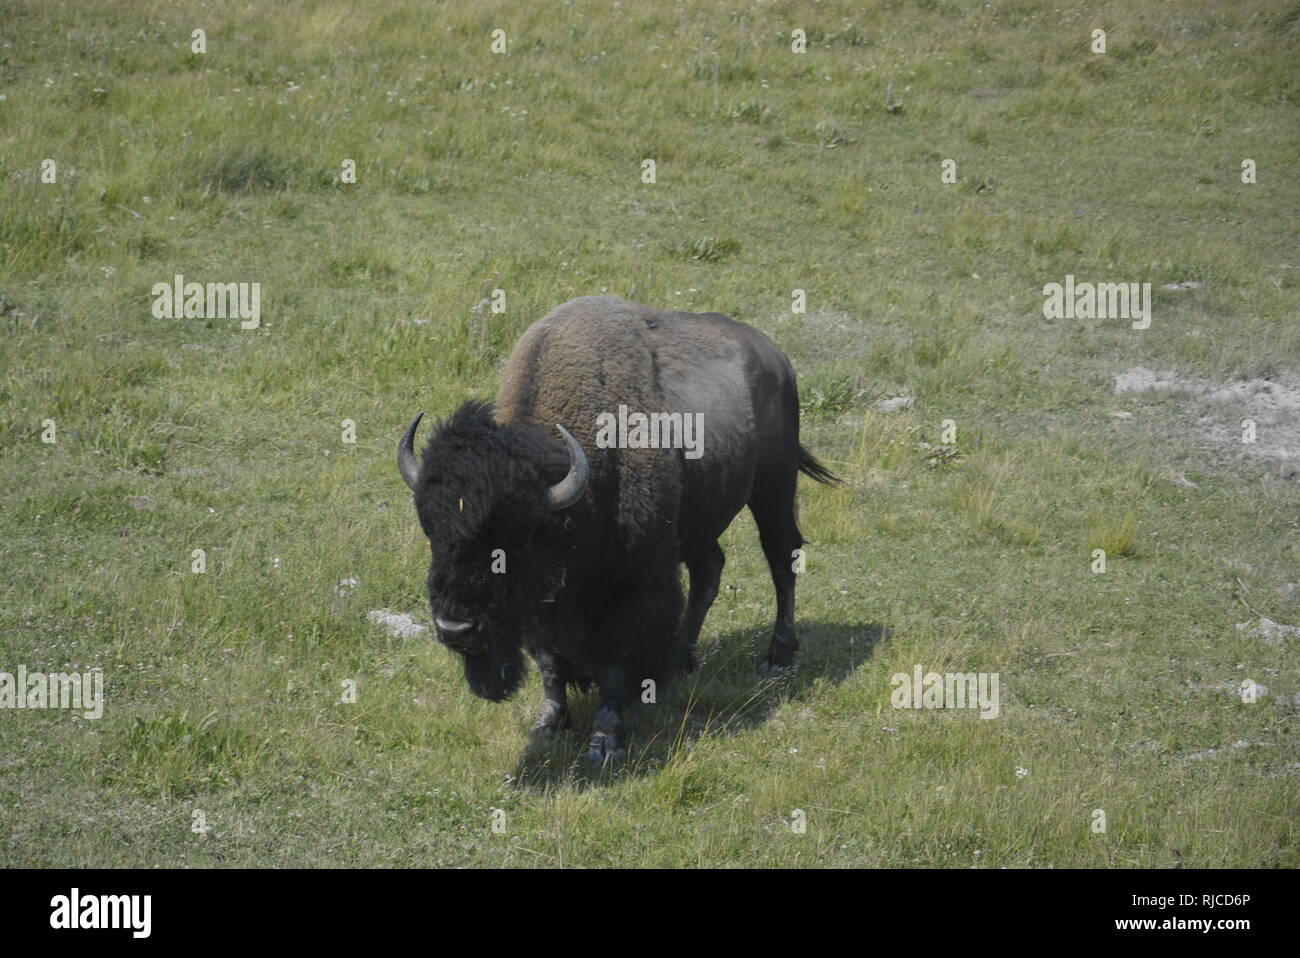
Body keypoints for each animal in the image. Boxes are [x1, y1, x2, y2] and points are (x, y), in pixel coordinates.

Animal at [398, 296, 838, 762]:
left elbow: (615, 662)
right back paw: (680, 660)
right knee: (710, 571)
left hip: (773, 486)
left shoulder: (631, 588)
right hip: (701, 518)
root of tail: (776, 357)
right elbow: (550, 663)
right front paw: (549, 724)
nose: (455, 629)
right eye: (431, 531)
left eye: (516, 538)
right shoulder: (545, 605)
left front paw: (605, 740)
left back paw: (777, 656)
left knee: (782, 558)